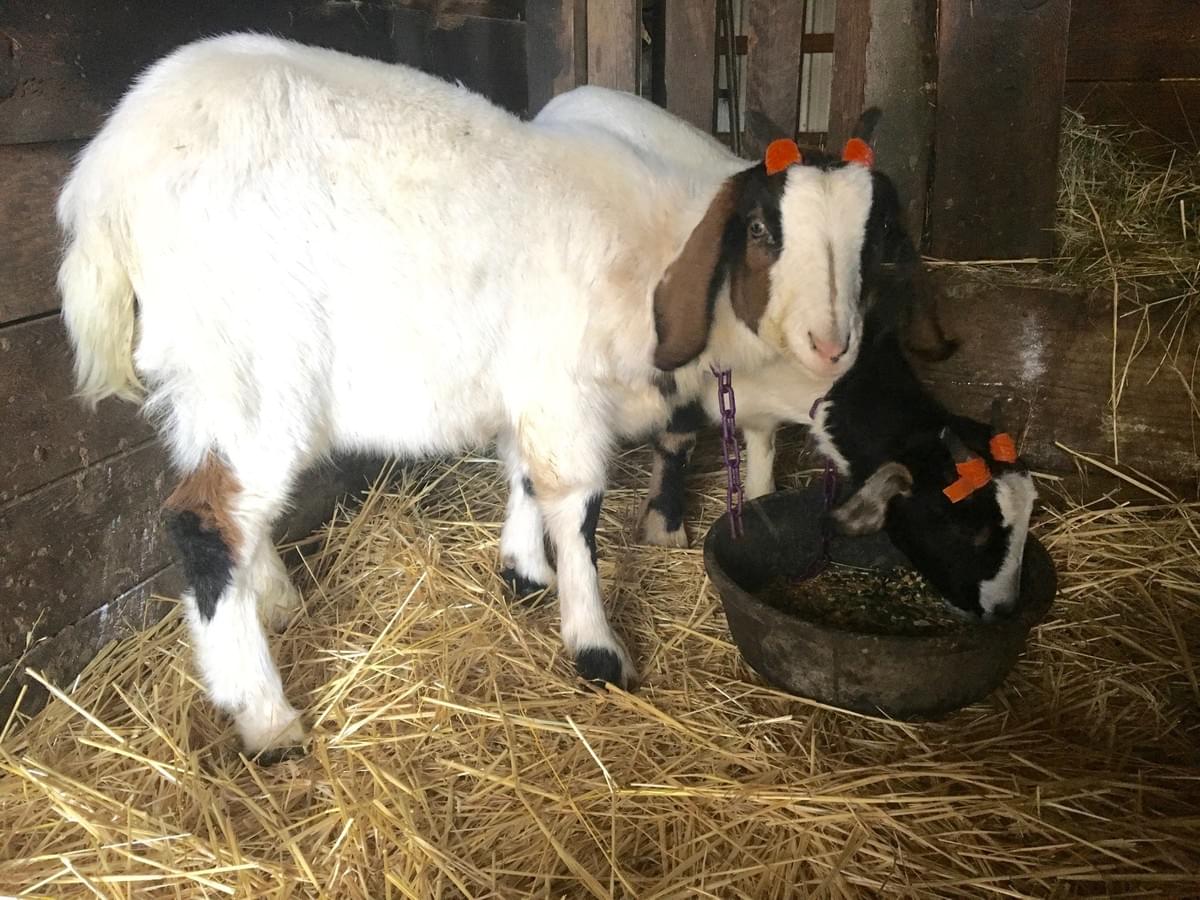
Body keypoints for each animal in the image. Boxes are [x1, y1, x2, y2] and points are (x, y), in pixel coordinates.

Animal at [60, 36, 894, 754]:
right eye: (761, 229)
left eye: (870, 242)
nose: (834, 341)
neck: (652, 240)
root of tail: (105, 176)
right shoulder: (563, 387)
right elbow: (574, 502)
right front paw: (596, 649)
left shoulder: (528, 387)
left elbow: (523, 475)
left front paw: (524, 574)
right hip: (250, 358)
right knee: (206, 524)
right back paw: (267, 720)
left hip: (211, 381)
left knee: (231, 508)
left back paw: (279, 602)